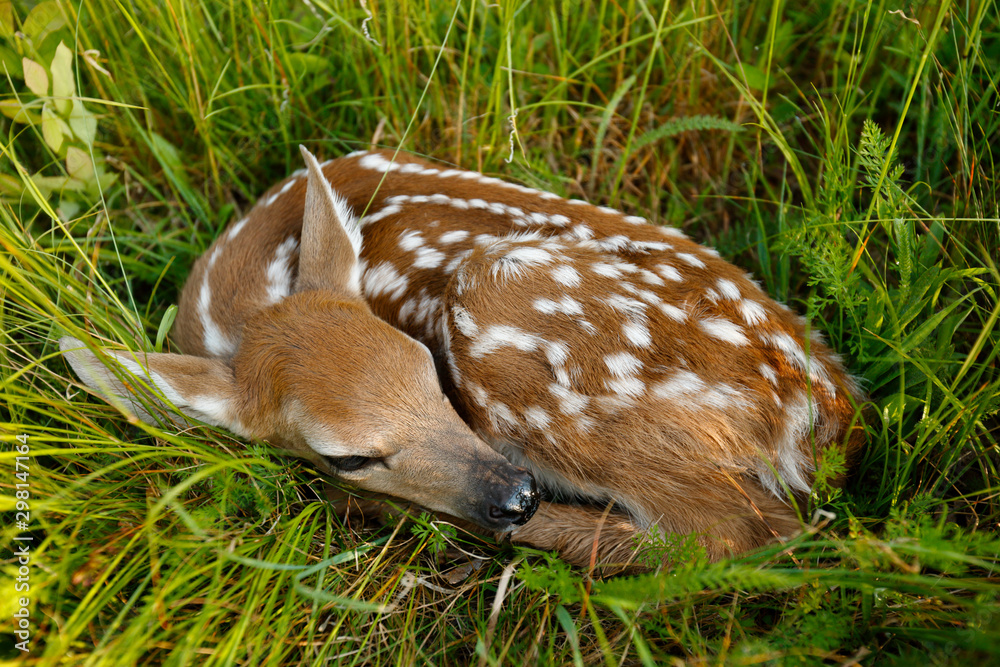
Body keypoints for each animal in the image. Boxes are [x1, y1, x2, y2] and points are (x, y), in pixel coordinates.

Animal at [61, 145, 866, 568]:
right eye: (346, 454)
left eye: (430, 369)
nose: (515, 495)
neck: (239, 310)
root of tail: (819, 409)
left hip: (501, 308)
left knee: (739, 532)